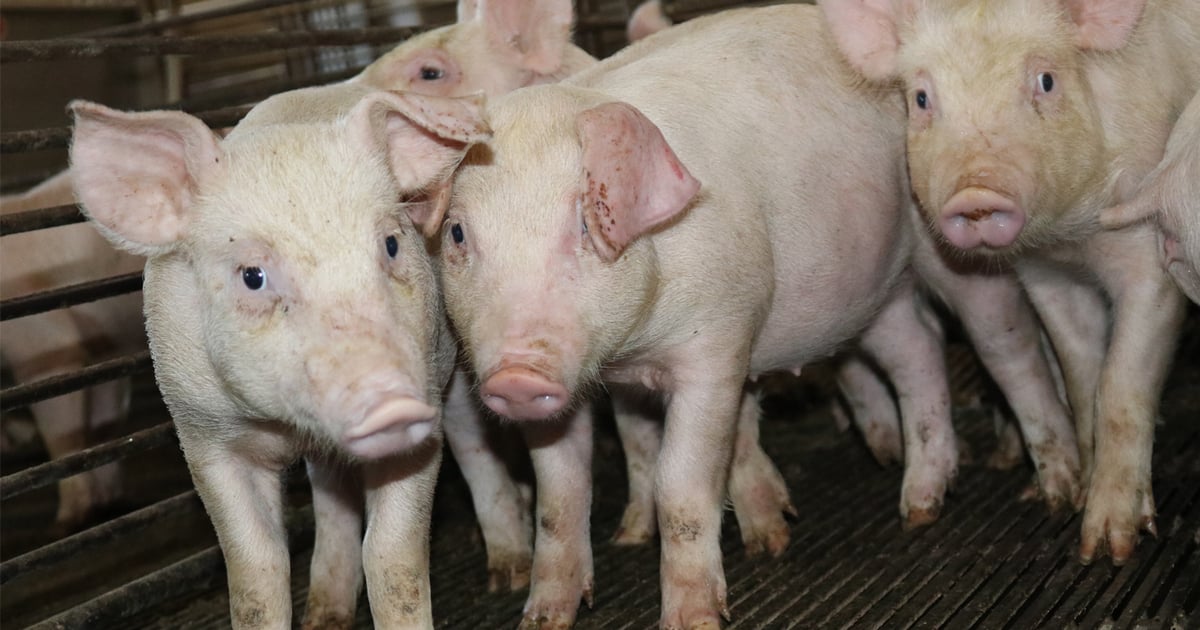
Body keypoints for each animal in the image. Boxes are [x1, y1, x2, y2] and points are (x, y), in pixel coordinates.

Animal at [1, 171, 141, 532]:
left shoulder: (43, 342)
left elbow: (63, 438)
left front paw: (67, 522)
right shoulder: (106, 350)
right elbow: (104, 425)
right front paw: (111, 504)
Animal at [68, 84, 489, 628]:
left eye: (392, 244)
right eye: (253, 276)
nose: (392, 403)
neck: (290, 425)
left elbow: (393, 559)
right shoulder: (203, 433)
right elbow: (256, 571)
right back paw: (324, 616)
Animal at [422, 6, 960, 626]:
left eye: (583, 224)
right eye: (458, 234)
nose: (516, 376)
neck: (633, 349)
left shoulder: (718, 344)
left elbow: (679, 485)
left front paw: (695, 617)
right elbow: (560, 496)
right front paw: (543, 616)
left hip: (935, 246)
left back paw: (918, 508)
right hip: (875, 292)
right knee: (916, 346)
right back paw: (919, 505)